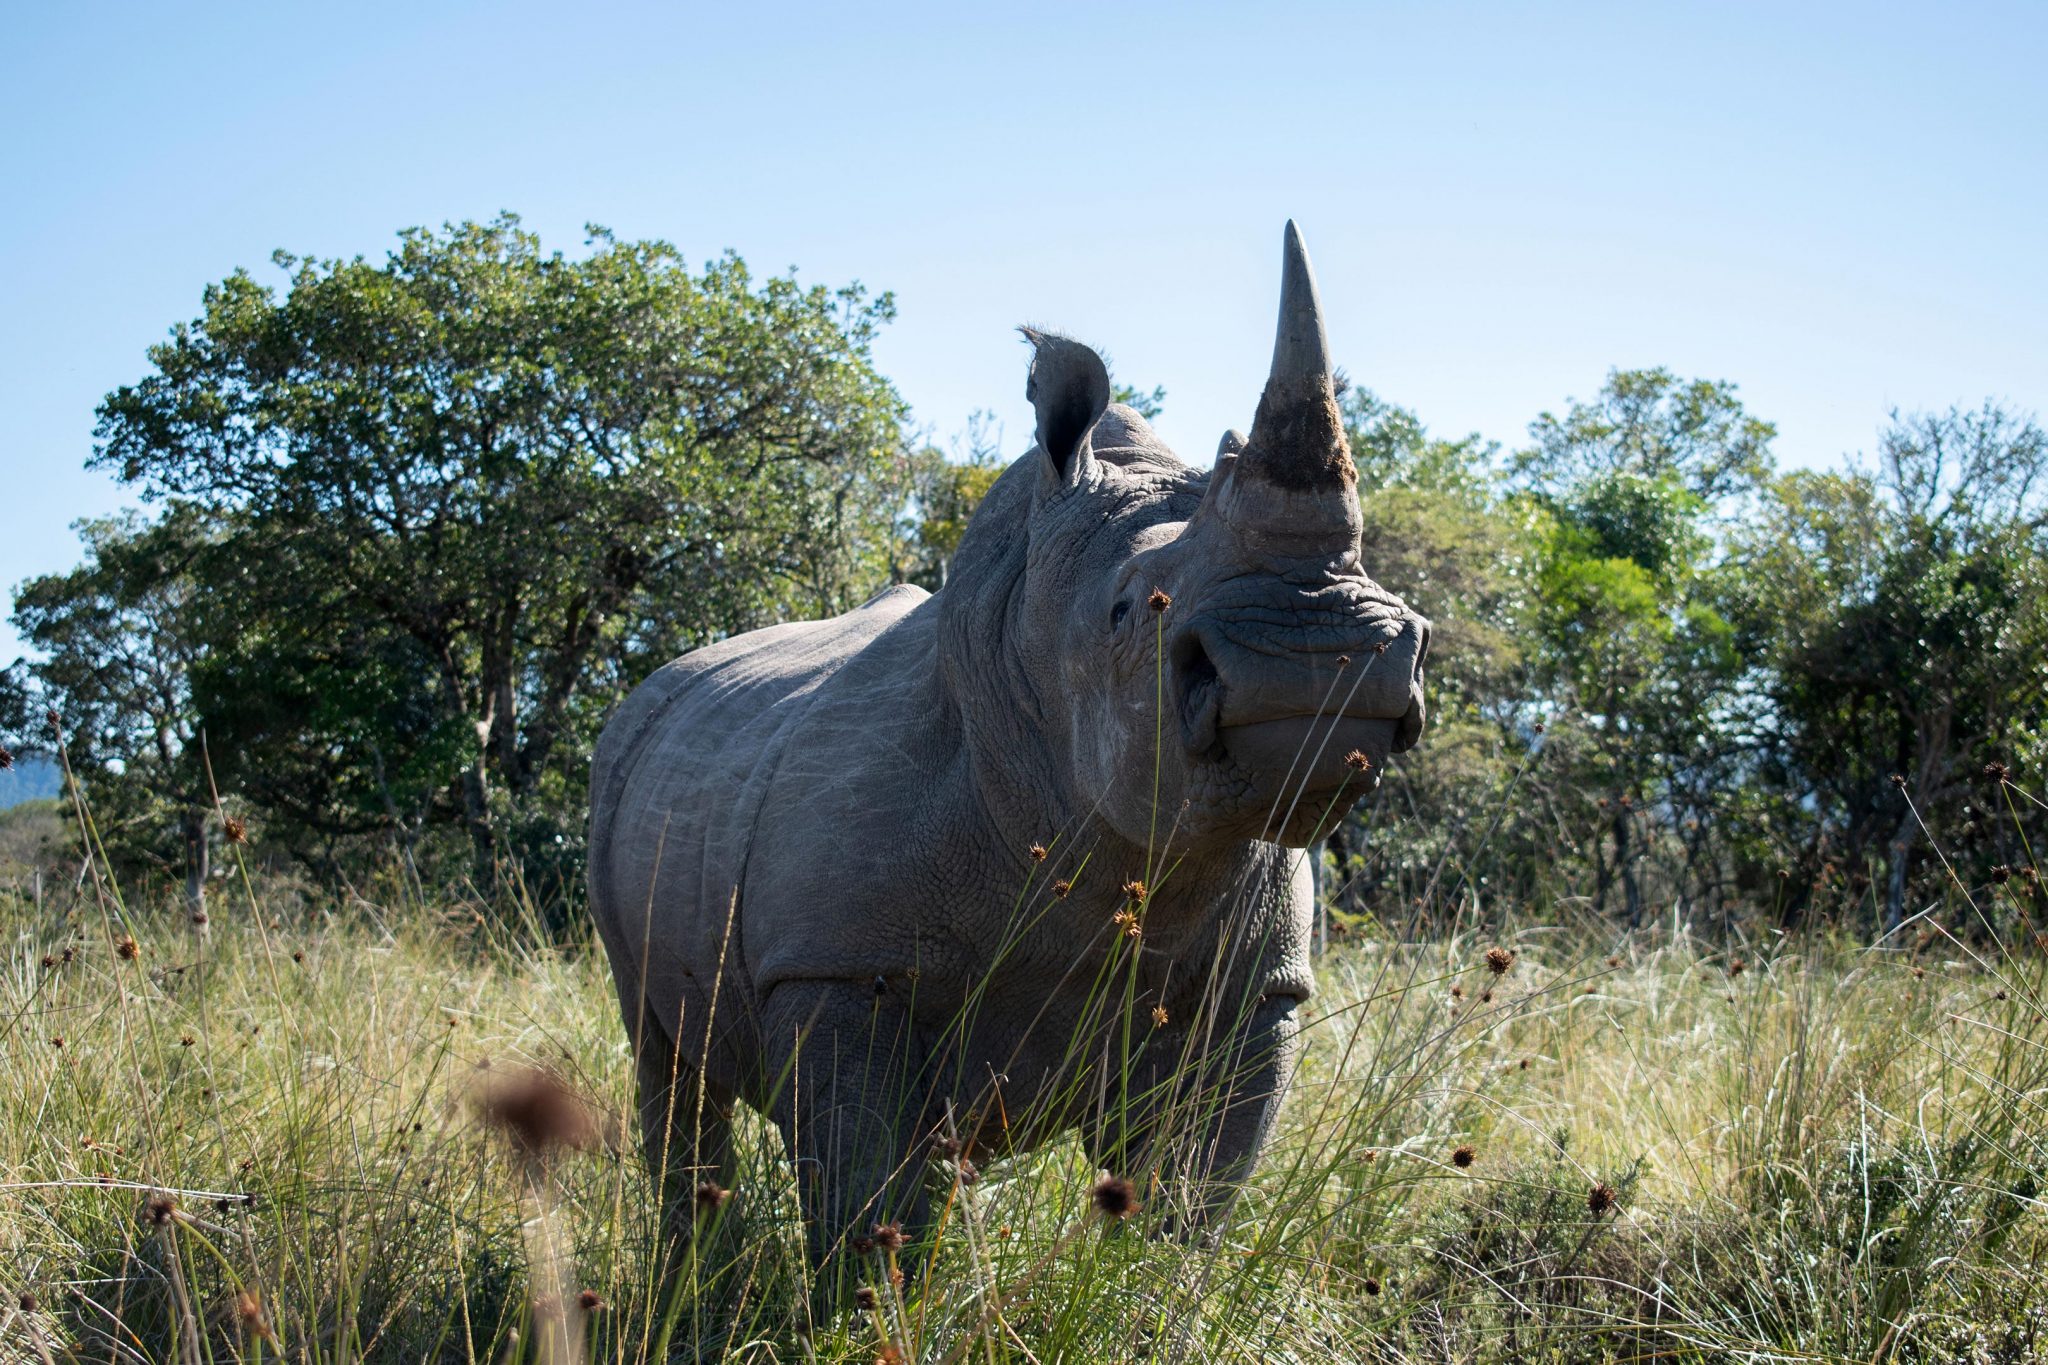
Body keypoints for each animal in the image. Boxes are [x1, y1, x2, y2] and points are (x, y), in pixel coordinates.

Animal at [588, 223, 1428, 1274]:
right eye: (1126, 610)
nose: (1324, 658)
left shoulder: (1256, 988)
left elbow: (1191, 1200)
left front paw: (1150, 1294)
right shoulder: (832, 967)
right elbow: (868, 1202)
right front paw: (866, 1306)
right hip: (626, 766)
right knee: (663, 1057)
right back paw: (692, 1281)